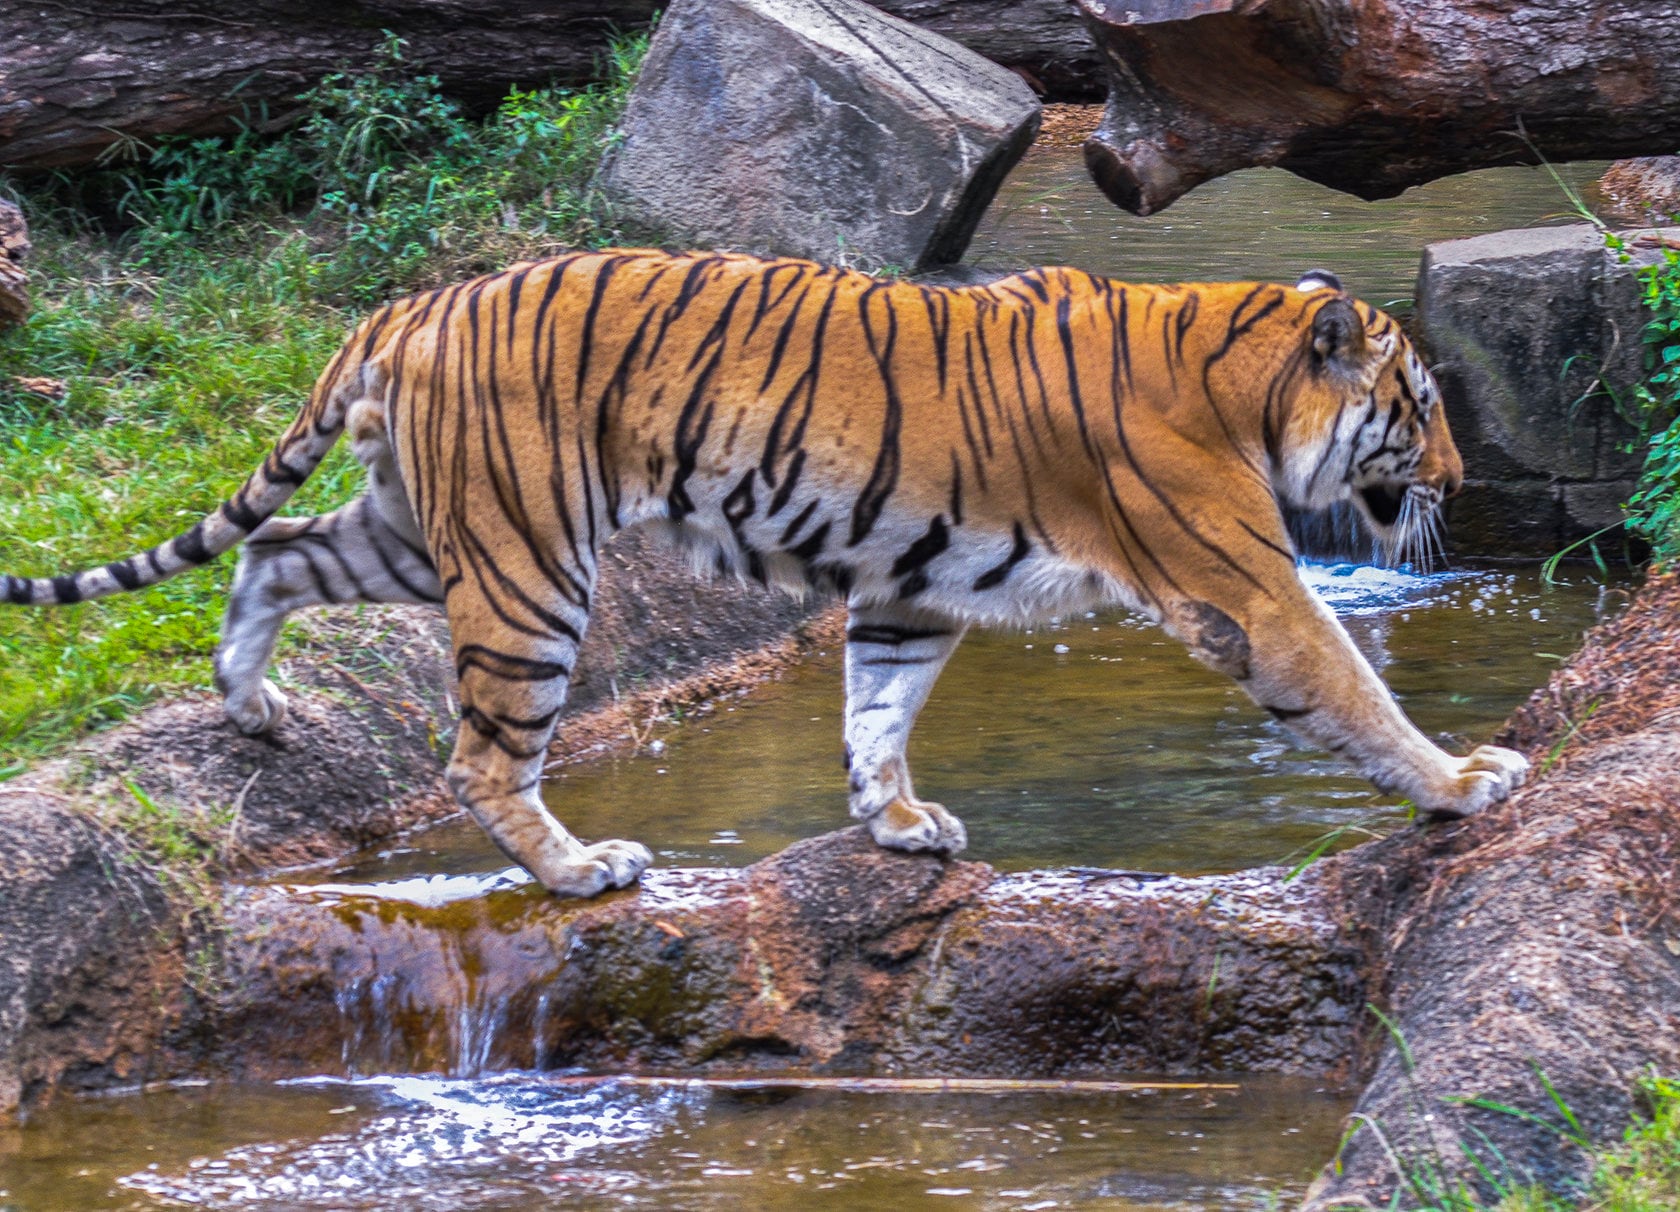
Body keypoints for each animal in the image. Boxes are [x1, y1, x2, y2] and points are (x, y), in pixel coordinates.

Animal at [1, 250, 1528, 897]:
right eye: (1422, 407)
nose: (1459, 487)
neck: (1243, 376)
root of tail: (415, 301)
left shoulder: (913, 583)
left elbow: (875, 708)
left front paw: (896, 827)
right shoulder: (1248, 590)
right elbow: (1352, 686)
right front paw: (1464, 782)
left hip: (422, 532)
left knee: (271, 550)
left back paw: (251, 707)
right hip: (528, 567)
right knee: (480, 757)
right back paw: (580, 870)